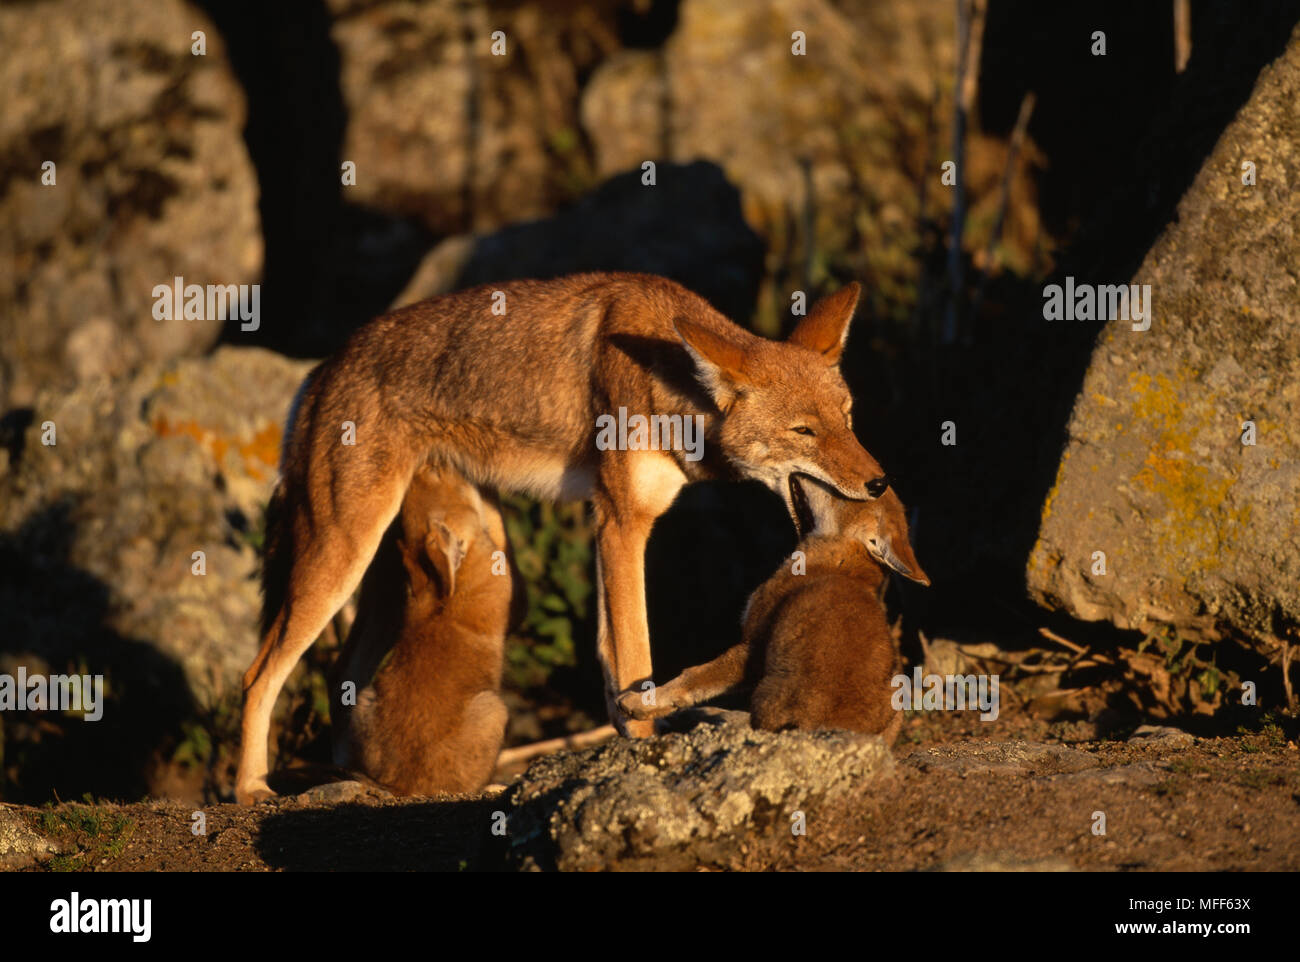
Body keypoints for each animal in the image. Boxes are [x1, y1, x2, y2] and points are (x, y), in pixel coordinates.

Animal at [236, 272, 884, 803]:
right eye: (804, 431)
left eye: (848, 418)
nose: (879, 482)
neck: (668, 379)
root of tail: (323, 368)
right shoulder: (623, 523)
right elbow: (635, 656)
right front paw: (644, 754)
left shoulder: (607, 525)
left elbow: (610, 657)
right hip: (340, 557)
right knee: (259, 673)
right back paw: (252, 789)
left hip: (393, 577)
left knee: (338, 674)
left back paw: (360, 779)